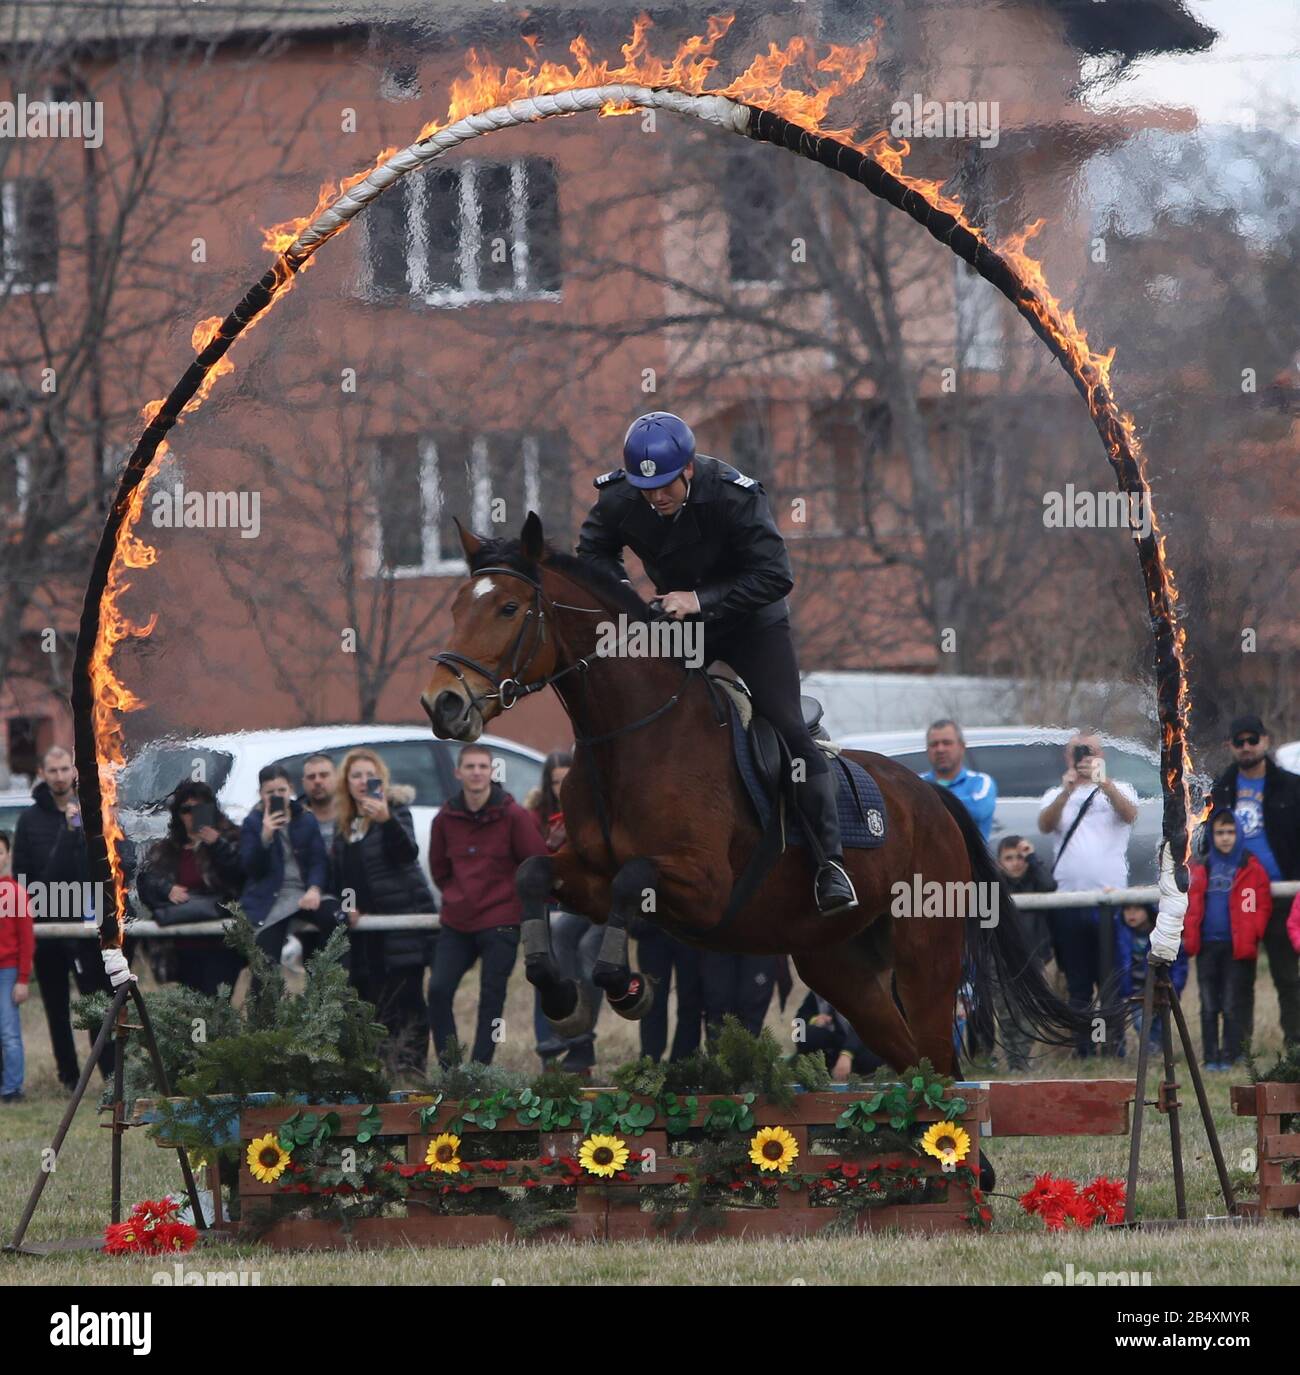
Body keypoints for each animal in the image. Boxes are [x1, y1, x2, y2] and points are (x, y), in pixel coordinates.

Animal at [421, 513, 1115, 1097]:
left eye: (509, 608)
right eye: (454, 607)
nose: (442, 704)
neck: (633, 738)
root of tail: (934, 796)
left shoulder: (703, 887)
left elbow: (630, 879)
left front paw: (628, 988)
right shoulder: (585, 875)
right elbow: (533, 873)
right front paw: (561, 994)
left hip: (925, 957)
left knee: (941, 1061)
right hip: (841, 968)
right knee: (913, 1058)